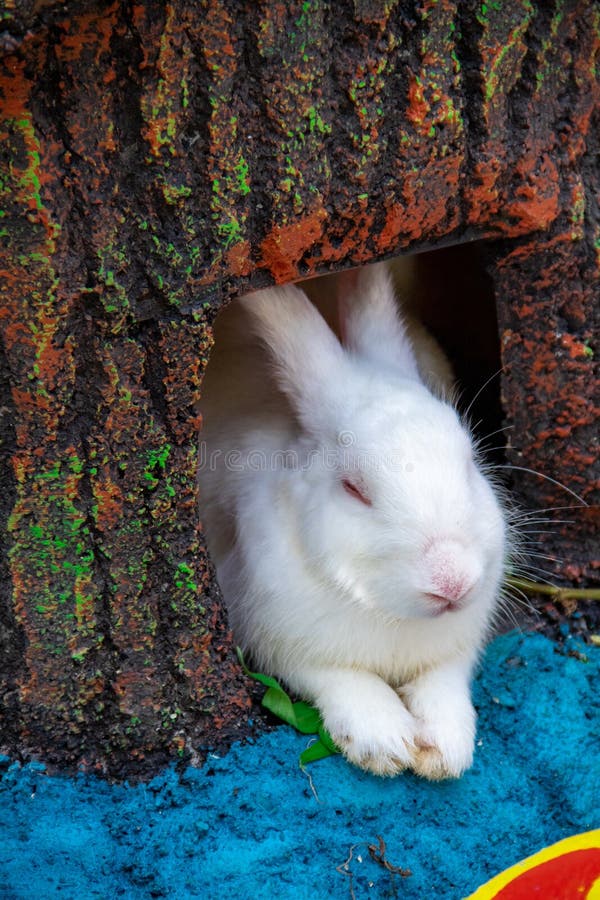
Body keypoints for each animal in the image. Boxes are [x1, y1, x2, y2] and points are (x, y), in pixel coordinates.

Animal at [198, 262, 508, 780]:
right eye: (353, 488)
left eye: (469, 461)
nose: (453, 582)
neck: (389, 613)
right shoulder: (279, 640)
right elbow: (343, 680)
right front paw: (385, 744)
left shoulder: (457, 647)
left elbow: (444, 683)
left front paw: (445, 750)